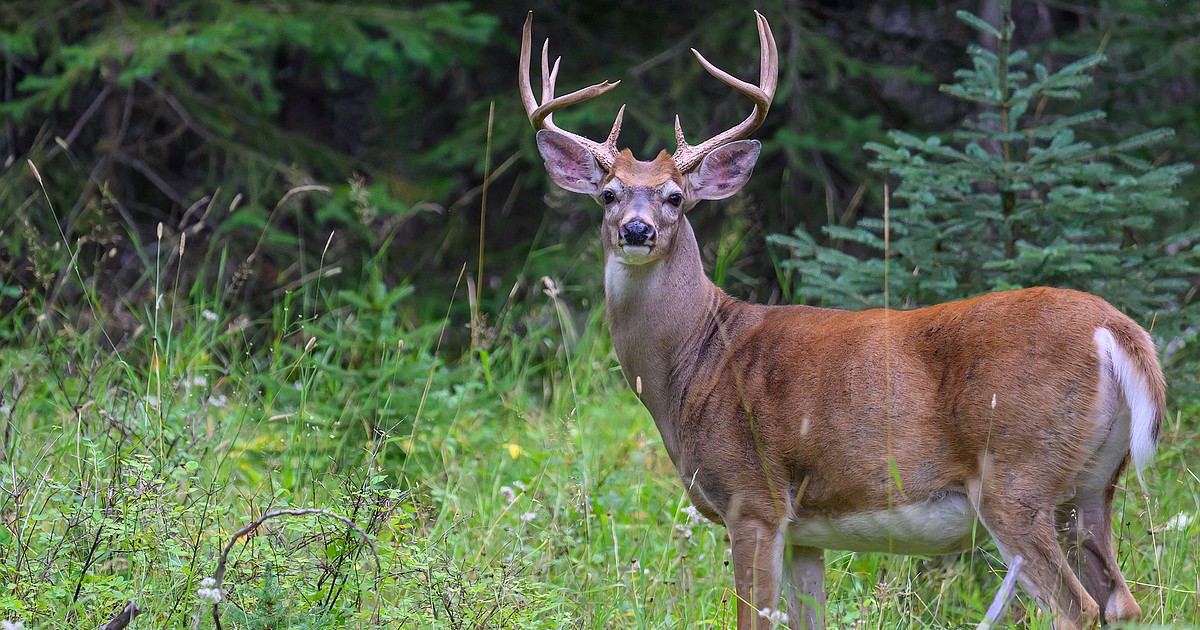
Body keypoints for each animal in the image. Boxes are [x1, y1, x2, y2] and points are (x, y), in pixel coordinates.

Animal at [520, 11, 1165, 630]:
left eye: (675, 196)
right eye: (608, 194)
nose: (637, 230)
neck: (694, 364)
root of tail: (1117, 332)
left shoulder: (754, 497)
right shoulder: (806, 531)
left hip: (1017, 476)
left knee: (1077, 607)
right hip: (1090, 488)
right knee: (1123, 603)